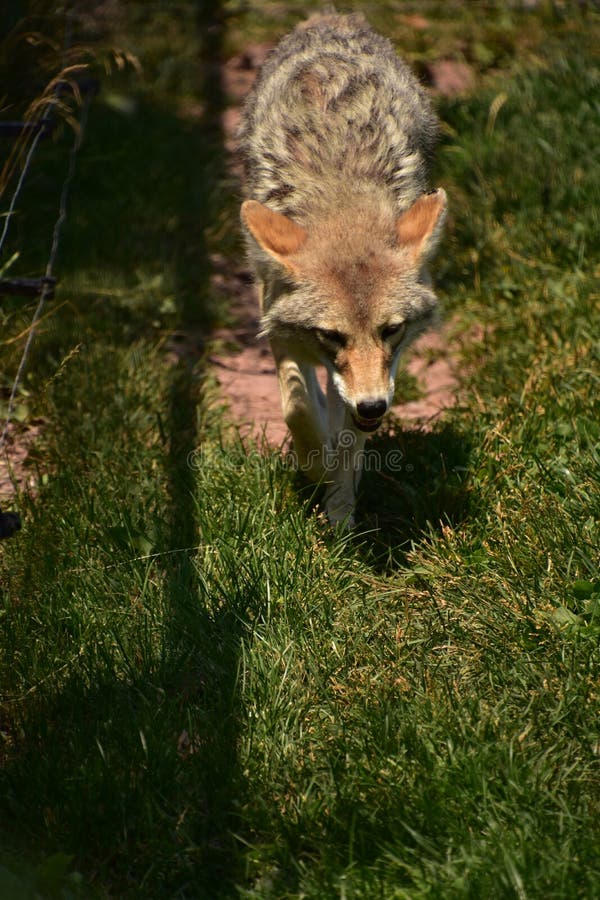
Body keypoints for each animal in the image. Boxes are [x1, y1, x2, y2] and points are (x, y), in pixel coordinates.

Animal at [238, 13, 447, 526]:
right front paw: (314, 467)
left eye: (391, 329)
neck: (339, 189)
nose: (373, 404)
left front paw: (339, 512)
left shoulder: (384, 373)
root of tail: (334, 17)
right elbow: (296, 407)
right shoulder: (277, 326)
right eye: (331, 335)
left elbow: (351, 440)